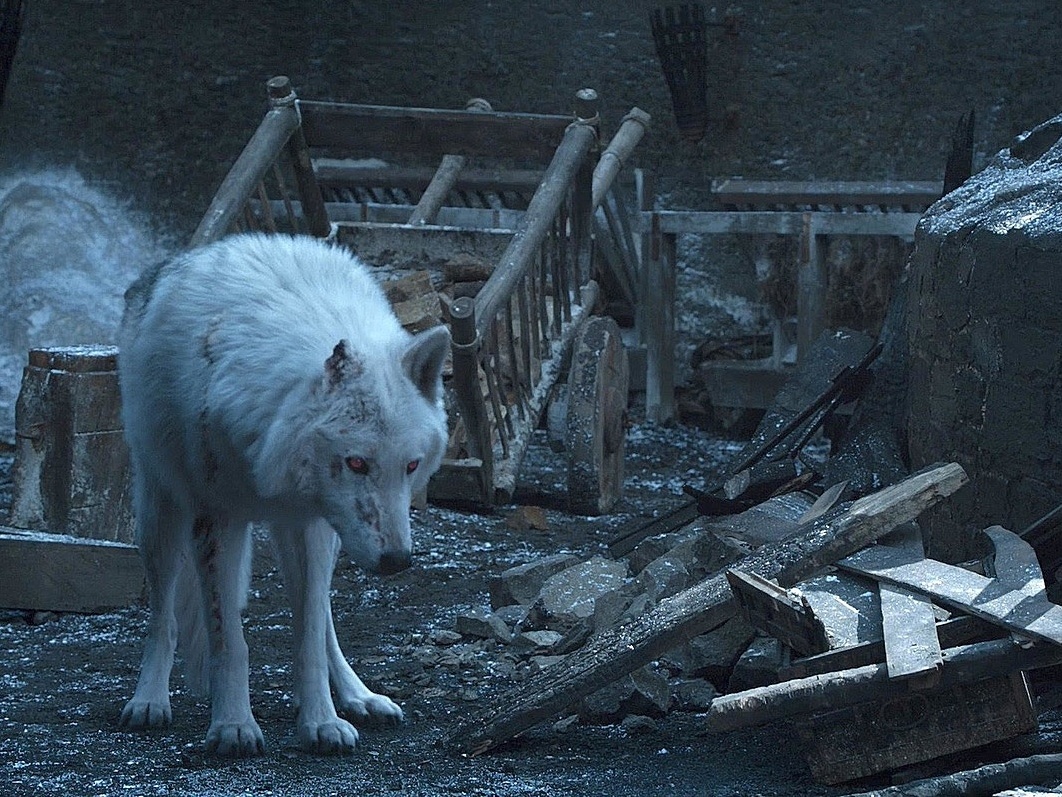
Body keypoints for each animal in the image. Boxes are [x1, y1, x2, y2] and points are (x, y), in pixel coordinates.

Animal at [116, 232, 449, 757]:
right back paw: (148, 700)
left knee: (323, 619)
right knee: (163, 616)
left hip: (328, 536)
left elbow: (309, 636)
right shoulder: (217, 519)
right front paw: (233, 726)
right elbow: (229, 640)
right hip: (160, 515)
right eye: (357, 463)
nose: (398, 561)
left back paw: (358, 697)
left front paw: (322, 723)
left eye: (411, 466)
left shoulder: (308, 524)